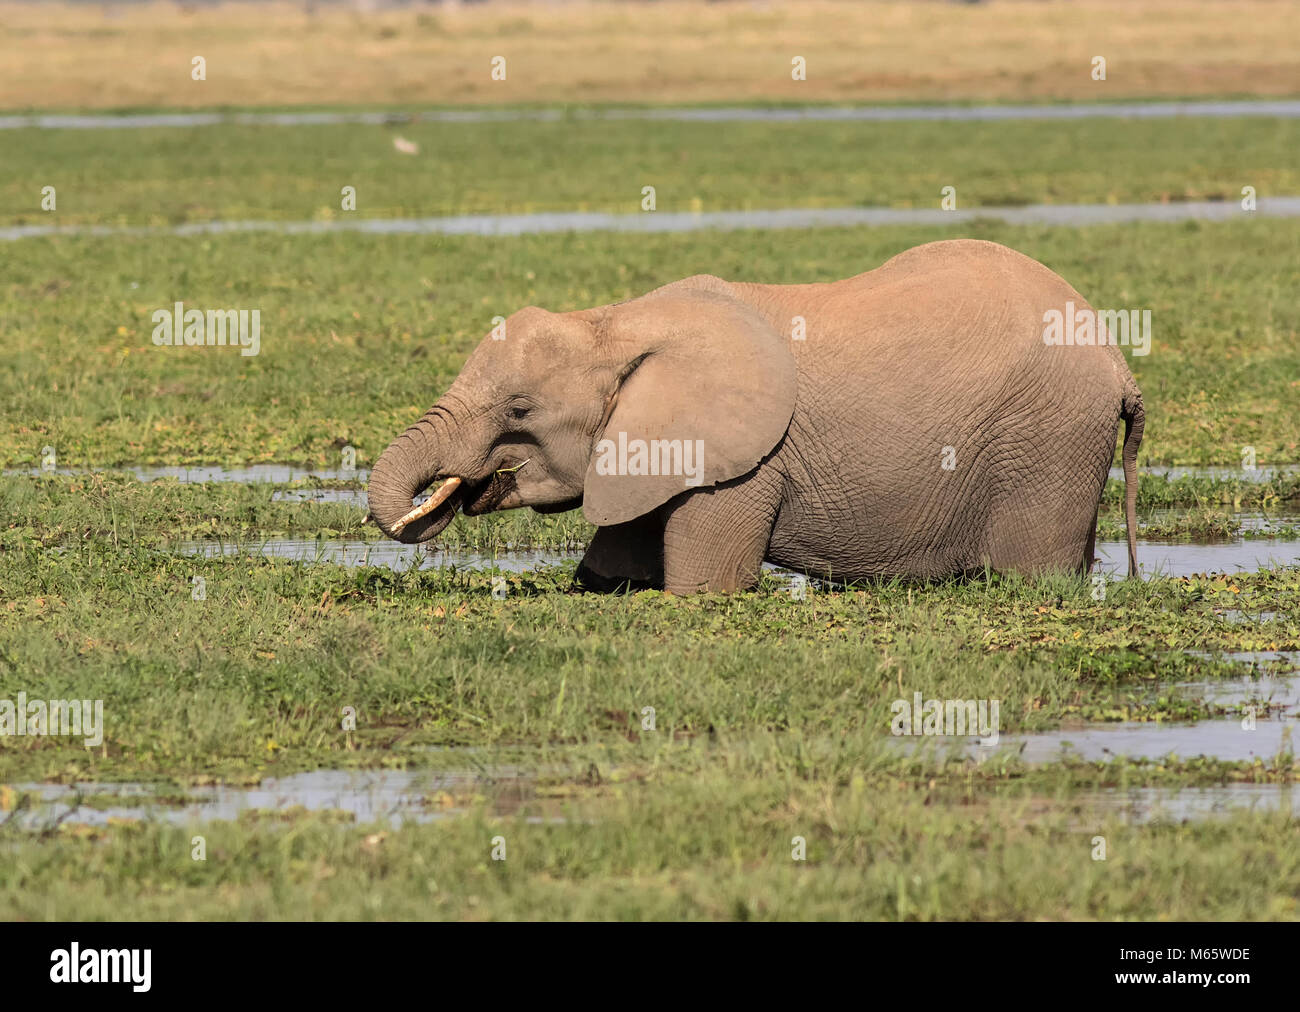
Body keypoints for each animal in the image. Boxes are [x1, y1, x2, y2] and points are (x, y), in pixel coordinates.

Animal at [367, 239, 1144, 594]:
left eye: (520, 408)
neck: (617, 320)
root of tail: (1117, 359)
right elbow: (610, 573)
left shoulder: (744, 464)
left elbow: (704, 586)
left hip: (1045, 439)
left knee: (1031, 575)